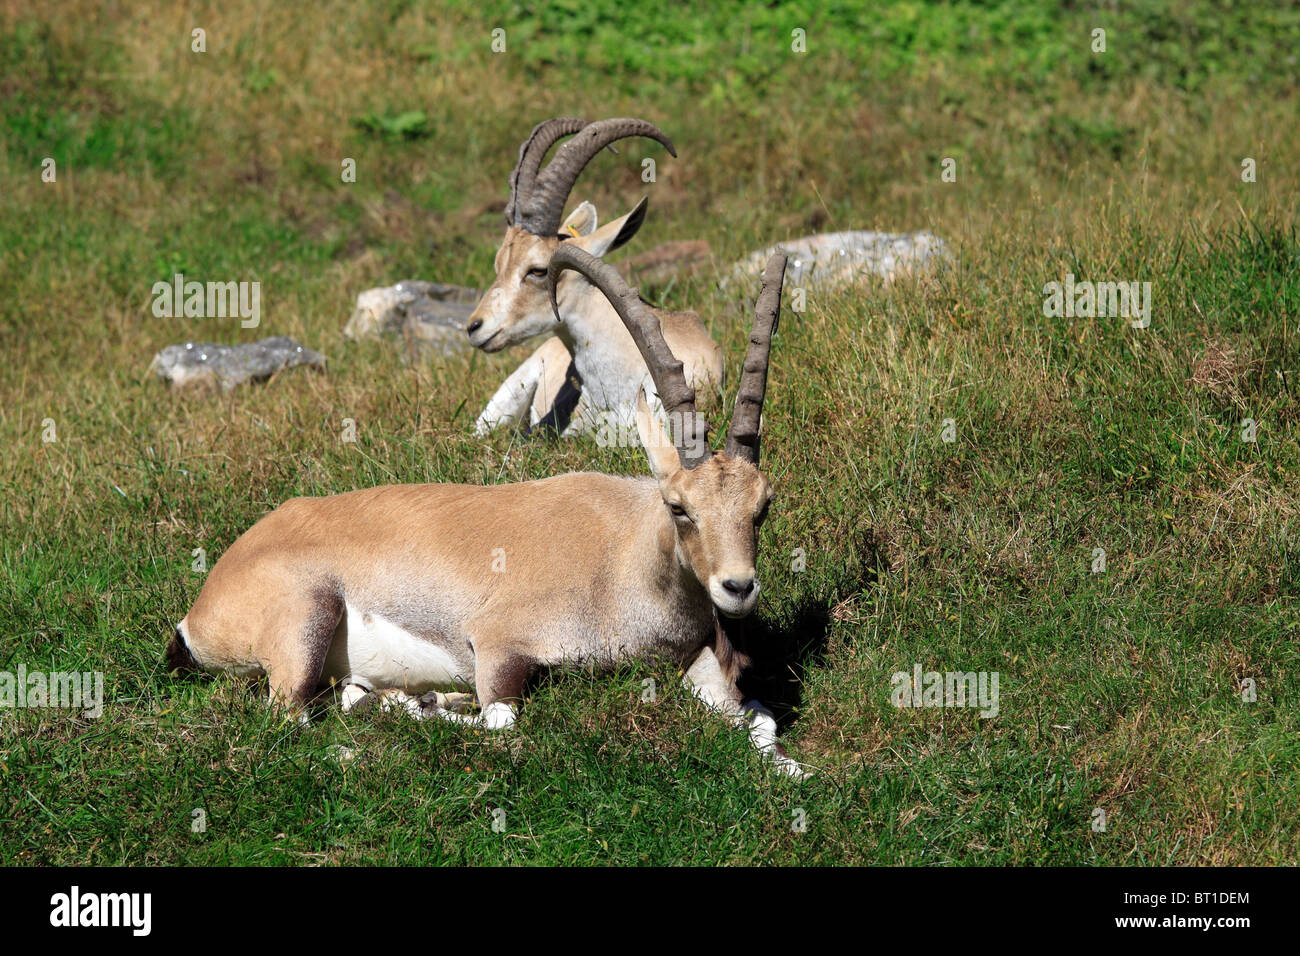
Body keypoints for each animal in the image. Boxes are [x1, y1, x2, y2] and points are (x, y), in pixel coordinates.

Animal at [166, 251, 802, 776]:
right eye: (679, 507)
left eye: (762, 505)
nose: (737, 587)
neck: (625, 557)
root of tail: (199, 612)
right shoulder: (497, 645)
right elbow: (502, 725)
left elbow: (761, 717)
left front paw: (794, 769)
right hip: (307, 617)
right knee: (293, 716)